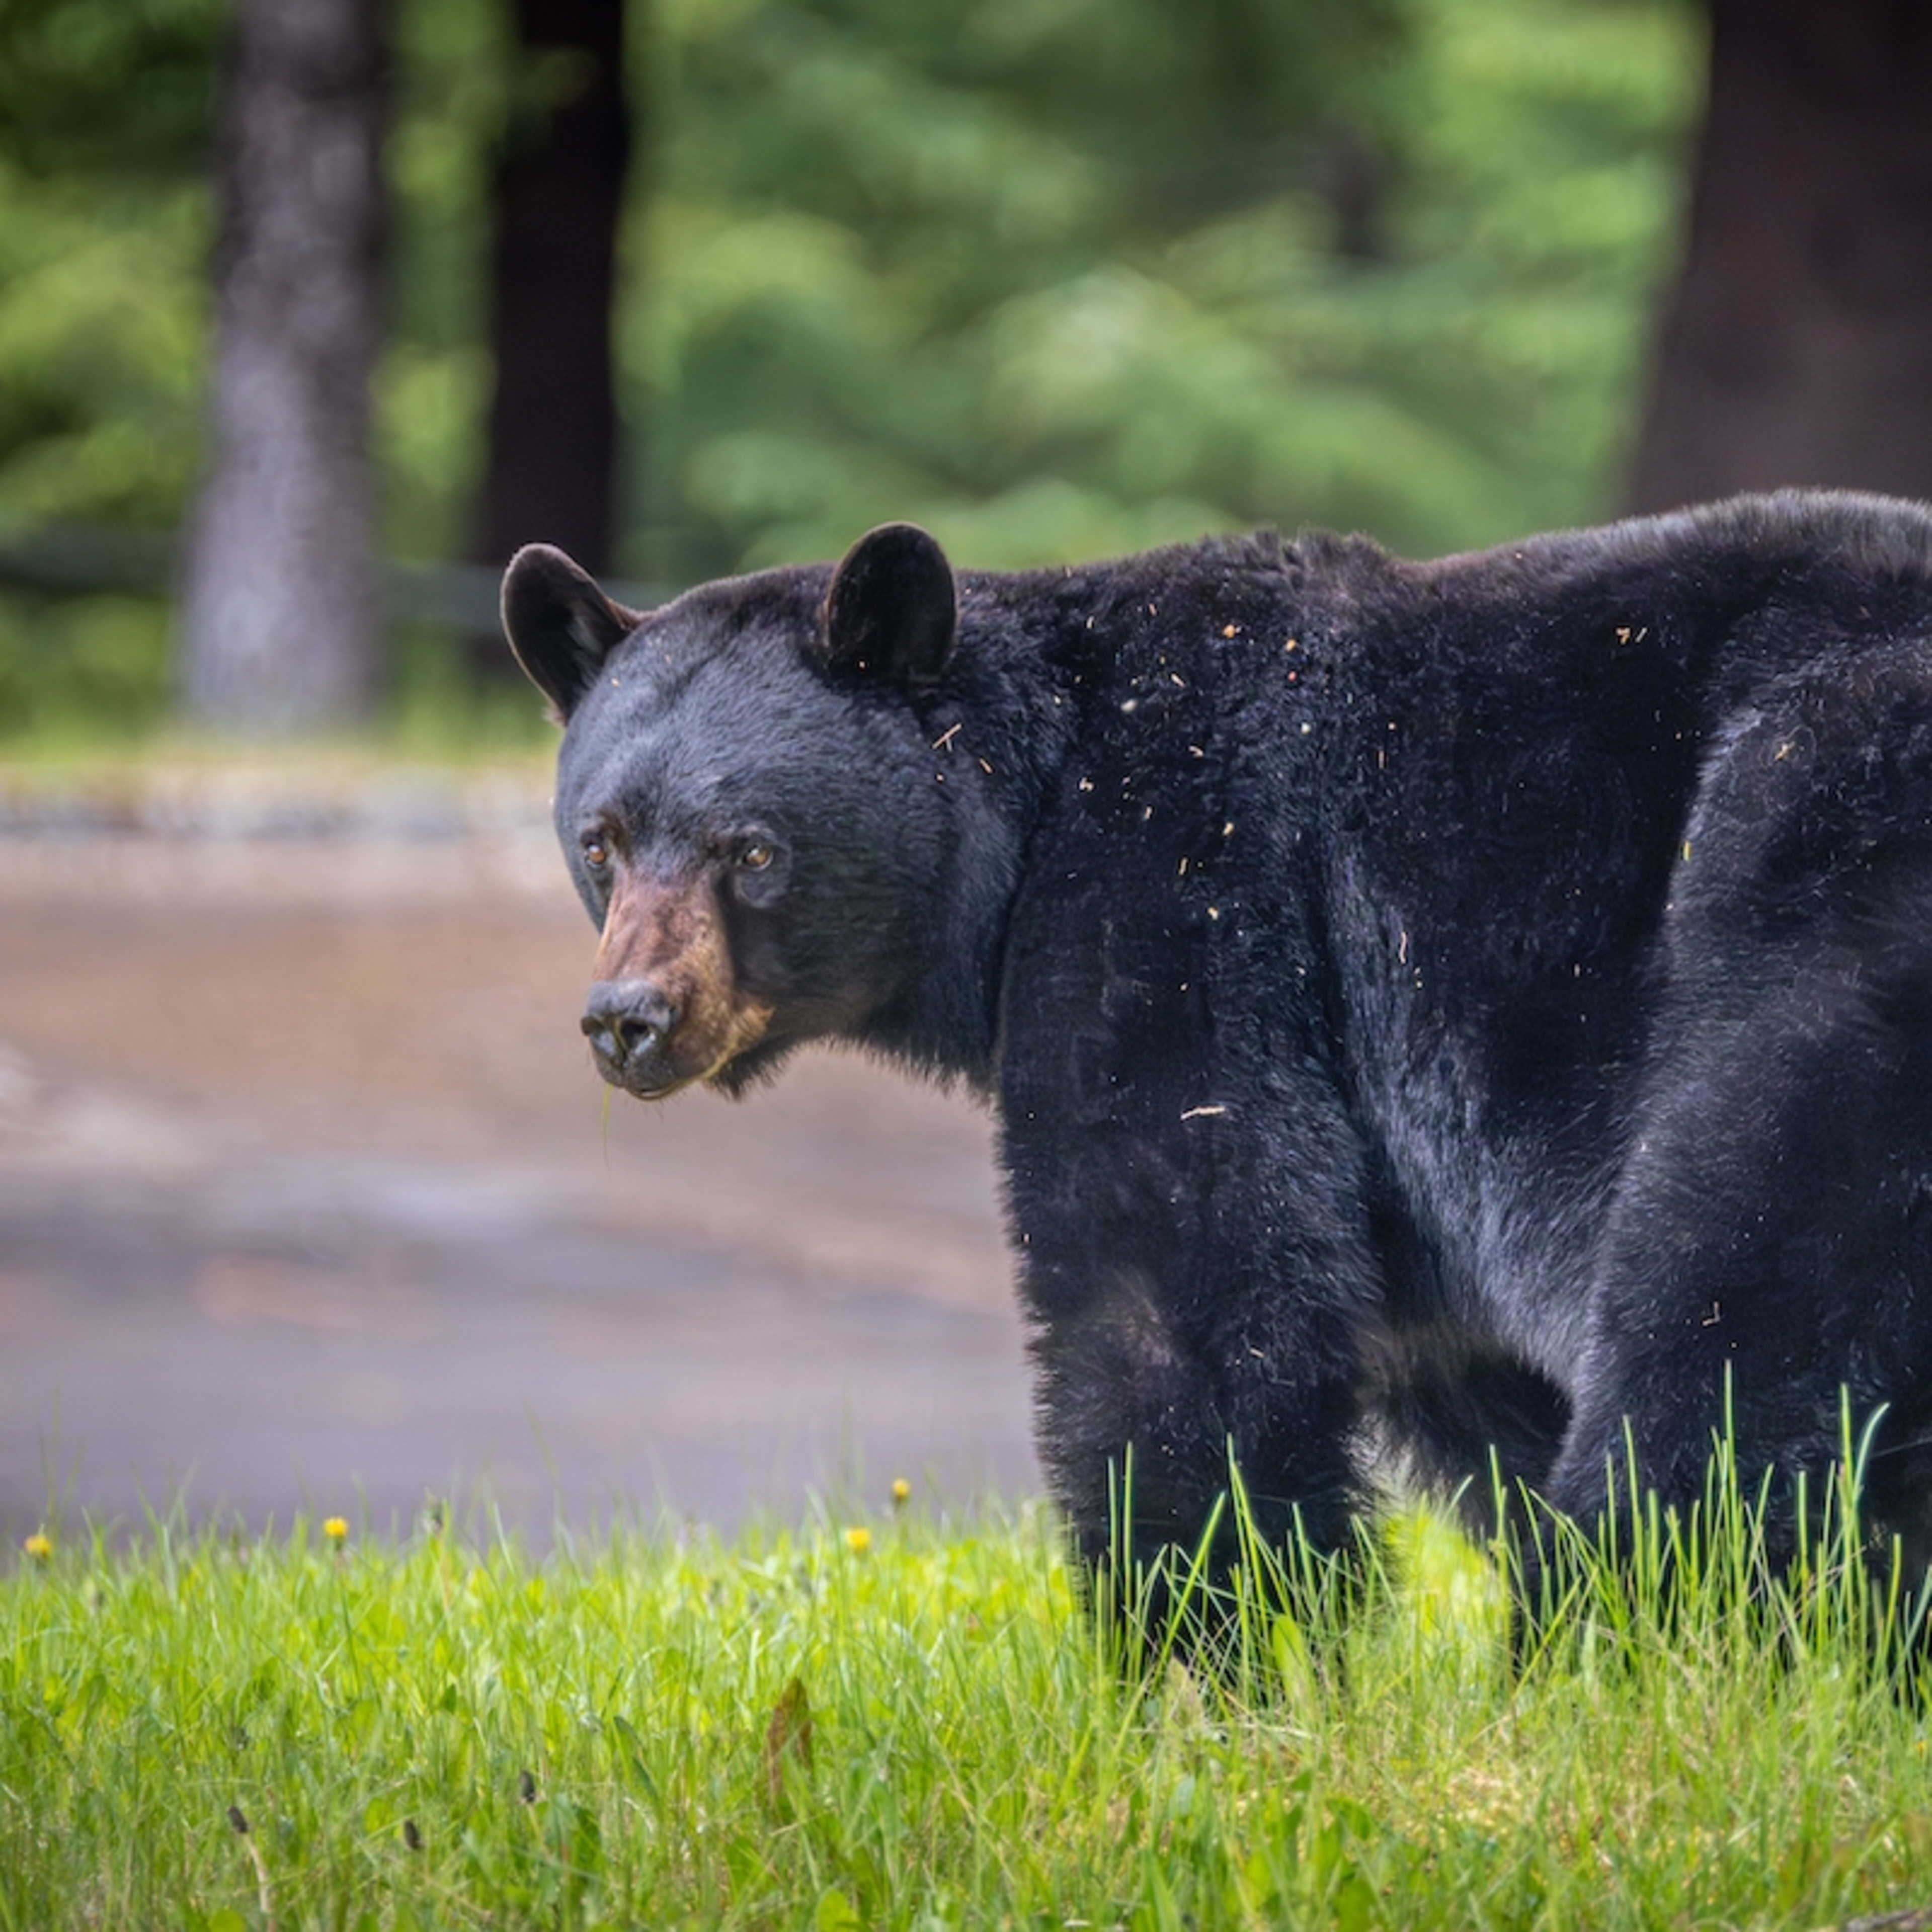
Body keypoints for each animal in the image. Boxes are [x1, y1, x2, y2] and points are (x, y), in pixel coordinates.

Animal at [502, 491, 1932, 1632]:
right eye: (603, 839)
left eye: (751, 847)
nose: (629, 1017)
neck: (1030, 809)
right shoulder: (1400, 1161)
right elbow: (1455, 1353)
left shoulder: (1183, 889)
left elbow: (1174, 1284)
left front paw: (1209, 1660)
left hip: (1809, 836)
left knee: (1730, 1273)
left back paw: (1620, 1638)